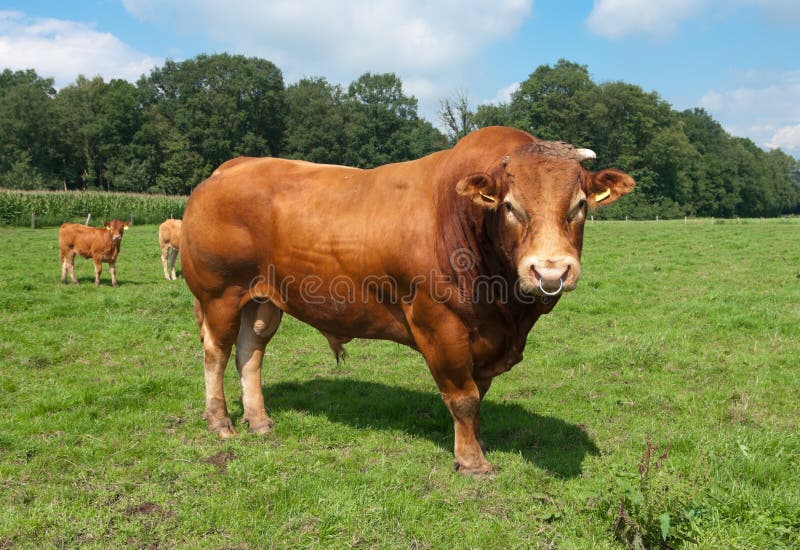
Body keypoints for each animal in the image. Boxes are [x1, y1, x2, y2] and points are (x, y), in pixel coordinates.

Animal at [181, 126, 634, 474]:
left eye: (579, 205)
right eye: (510, 206)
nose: (551, 272)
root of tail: (232, 166)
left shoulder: (486, 337)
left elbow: (479, 394)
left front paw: (477, 444)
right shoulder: (440, 323)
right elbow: (464, 397)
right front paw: (472, 463)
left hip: (262, 300)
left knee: (250, 351)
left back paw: (258, 420)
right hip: (220, 294)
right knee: (216, 353)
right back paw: (221, 422)